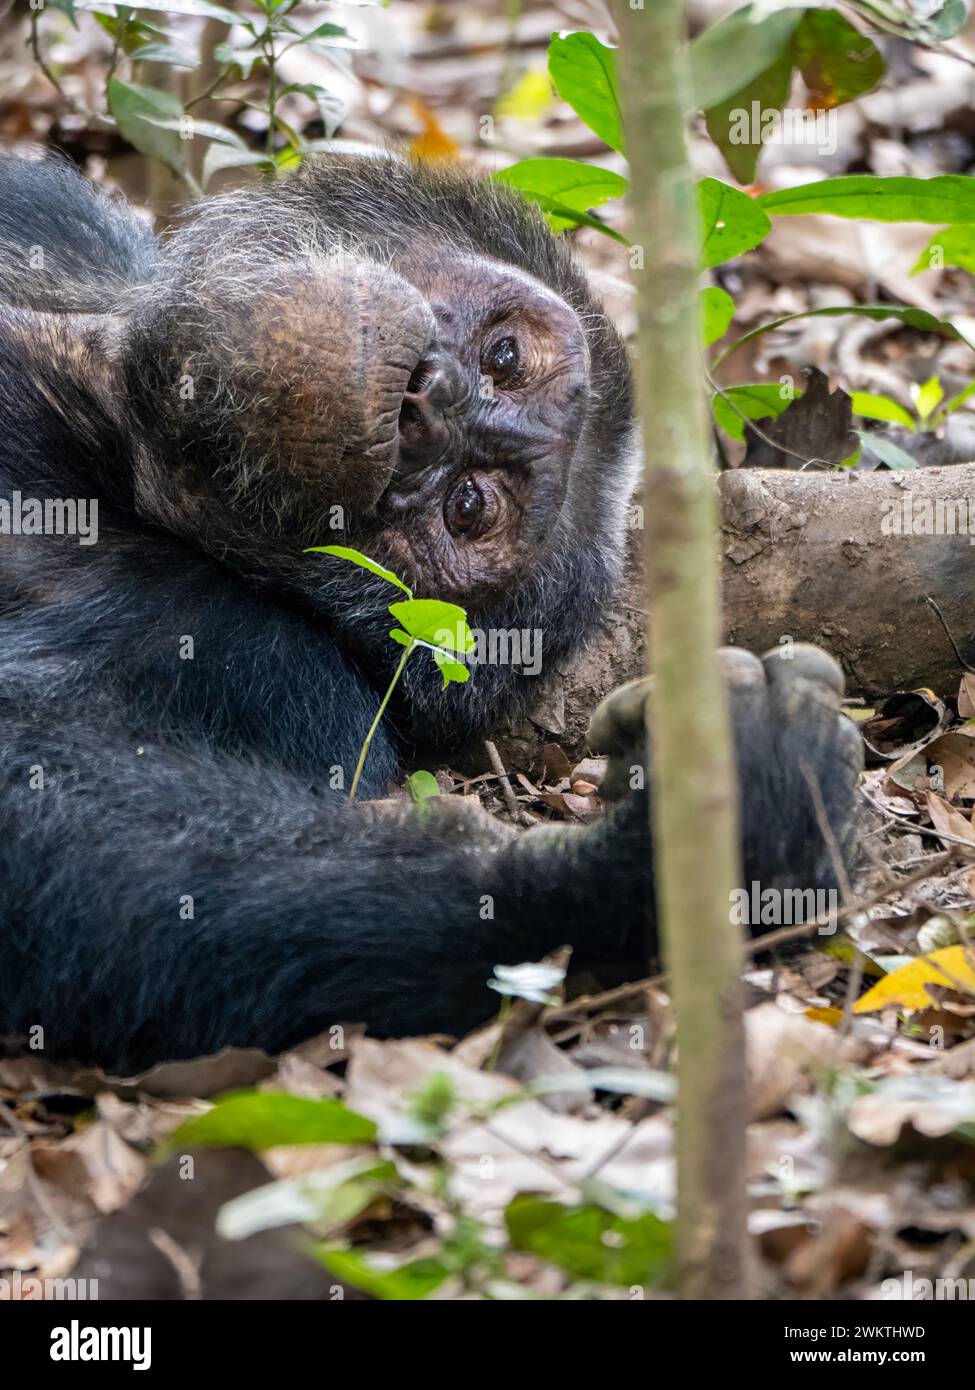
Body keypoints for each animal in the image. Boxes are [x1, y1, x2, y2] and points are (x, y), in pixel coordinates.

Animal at [0, 153, 862, 1073]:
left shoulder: (264, 671)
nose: (428, 401)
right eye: (506, 356)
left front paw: (679, 849)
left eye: (469, 506)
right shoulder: (54, 222)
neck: (124, 445)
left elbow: (93, 832)